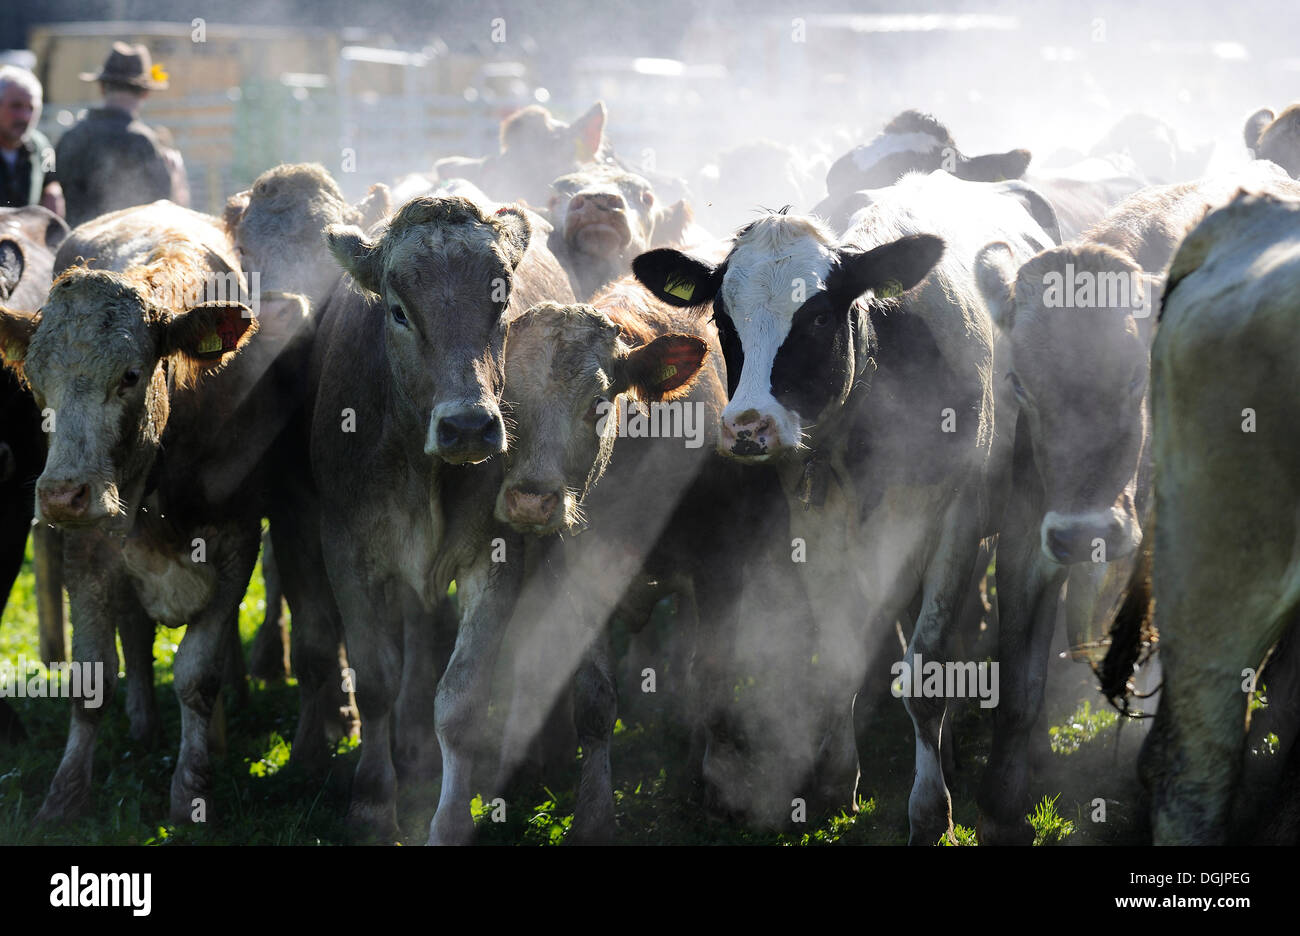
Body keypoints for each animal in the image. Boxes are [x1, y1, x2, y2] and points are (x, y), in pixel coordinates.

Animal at [0, 200, 285, 823]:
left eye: (130, 375)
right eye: (35, 382)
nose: (61, 495)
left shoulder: (237, 544)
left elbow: (197, 677)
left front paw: (191, 791)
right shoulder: (87, 553)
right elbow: (93, 677)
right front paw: (65, 797)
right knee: (133, 630)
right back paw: (143, 723)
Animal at [310, 195, 574, 842]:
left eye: (501, 301)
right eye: (399, 311)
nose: (469, 426)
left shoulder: (498, 556)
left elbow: (460, 702)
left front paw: (451, 821)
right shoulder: (345, 547)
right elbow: (376, 679)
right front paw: (372, 803)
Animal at [634, 170, 1057, 842]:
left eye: (816, 317)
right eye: (724, 319)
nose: (748, 427)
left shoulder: (956, 522)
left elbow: (925, 673)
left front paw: (928, 811)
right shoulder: (817, 525)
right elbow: (837, 656)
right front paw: (836, 783)